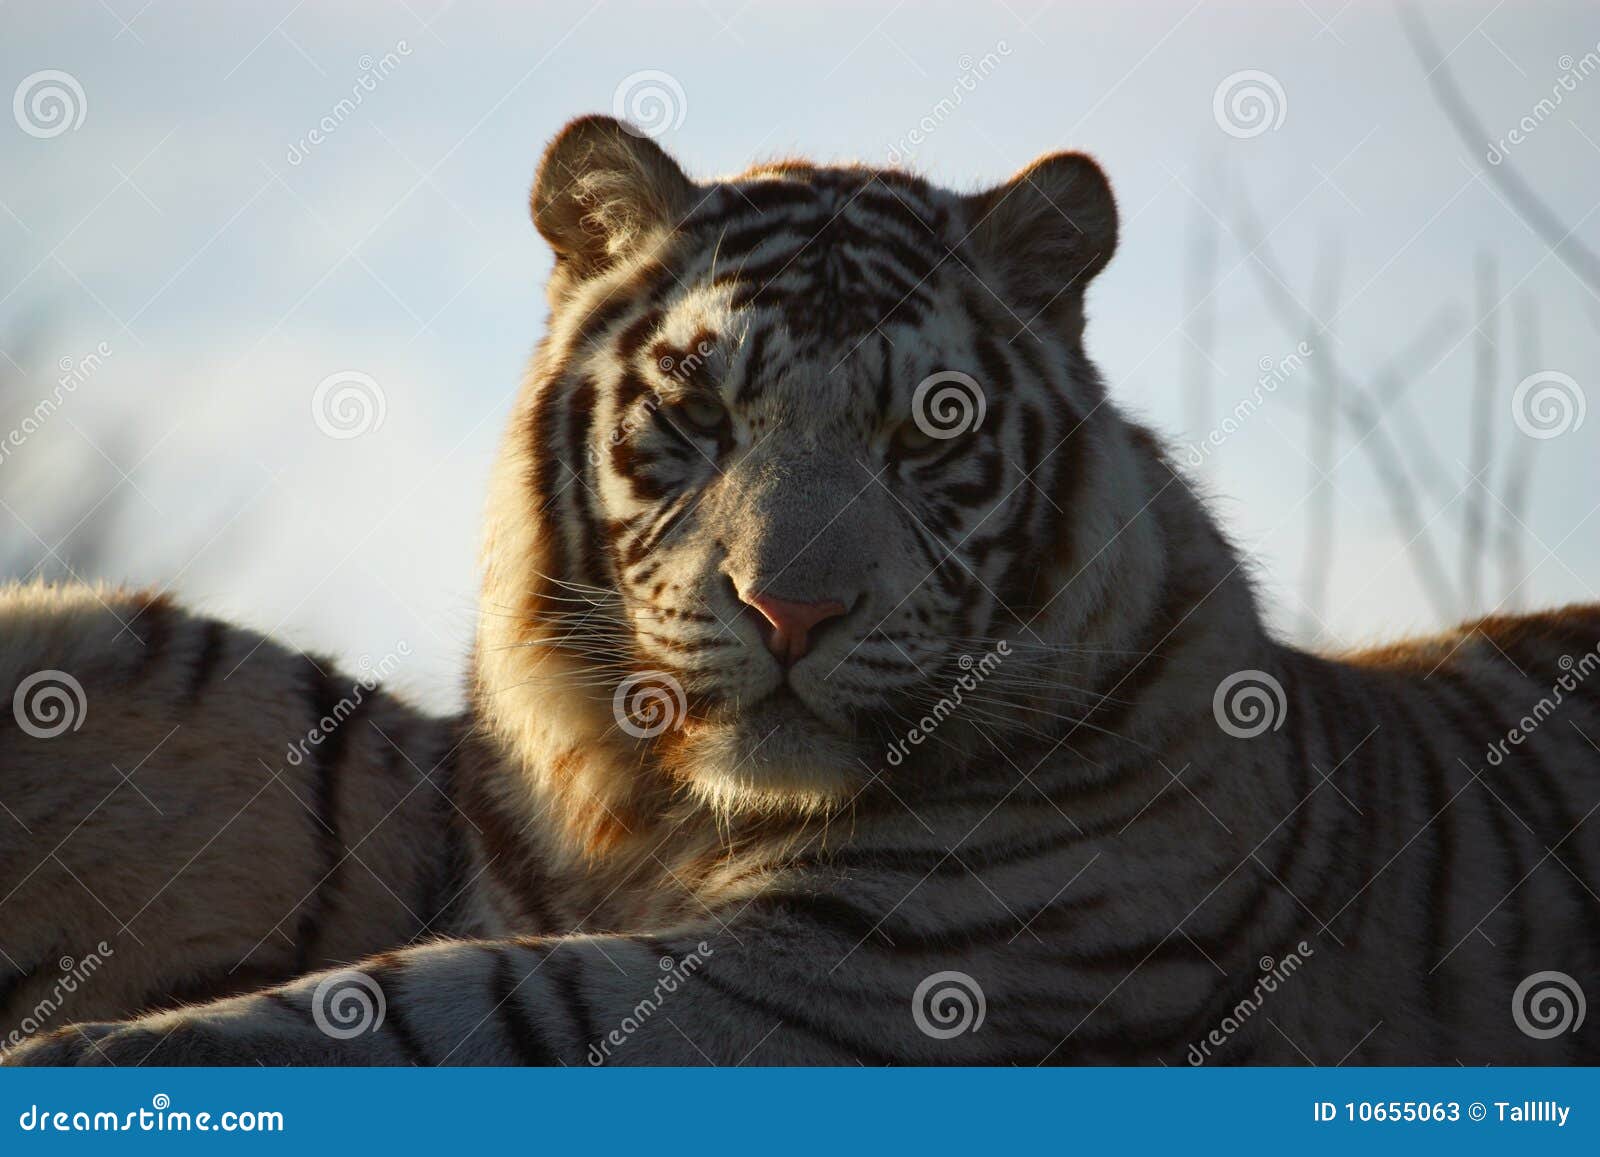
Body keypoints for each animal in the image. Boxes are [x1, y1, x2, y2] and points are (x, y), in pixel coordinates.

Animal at [2, 114, 1597, 1066]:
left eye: (931, 429)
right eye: (697, 408)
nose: (792, 614)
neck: (651, 821)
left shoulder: (869, 976)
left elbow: (418, 1002)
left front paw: (78, 1057)